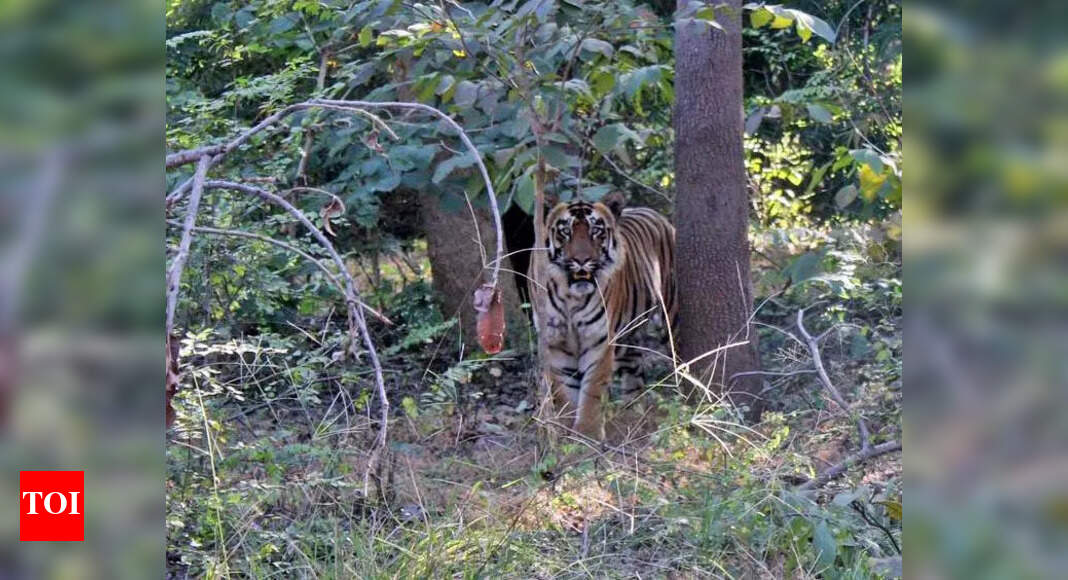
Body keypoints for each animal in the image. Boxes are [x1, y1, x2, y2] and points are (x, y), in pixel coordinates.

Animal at [531, 192, 676, 439]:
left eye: (596, 231)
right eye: (566, 231)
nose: (581, 260)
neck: (570, 296)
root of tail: (654, 213)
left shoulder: (598, 341)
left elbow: (592, 390)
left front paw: (587, 434)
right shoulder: (555, 343)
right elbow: (564, 391)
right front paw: (566, 432)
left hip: (671, 316)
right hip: (628, 339)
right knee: (633, 375)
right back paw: (632, 414)